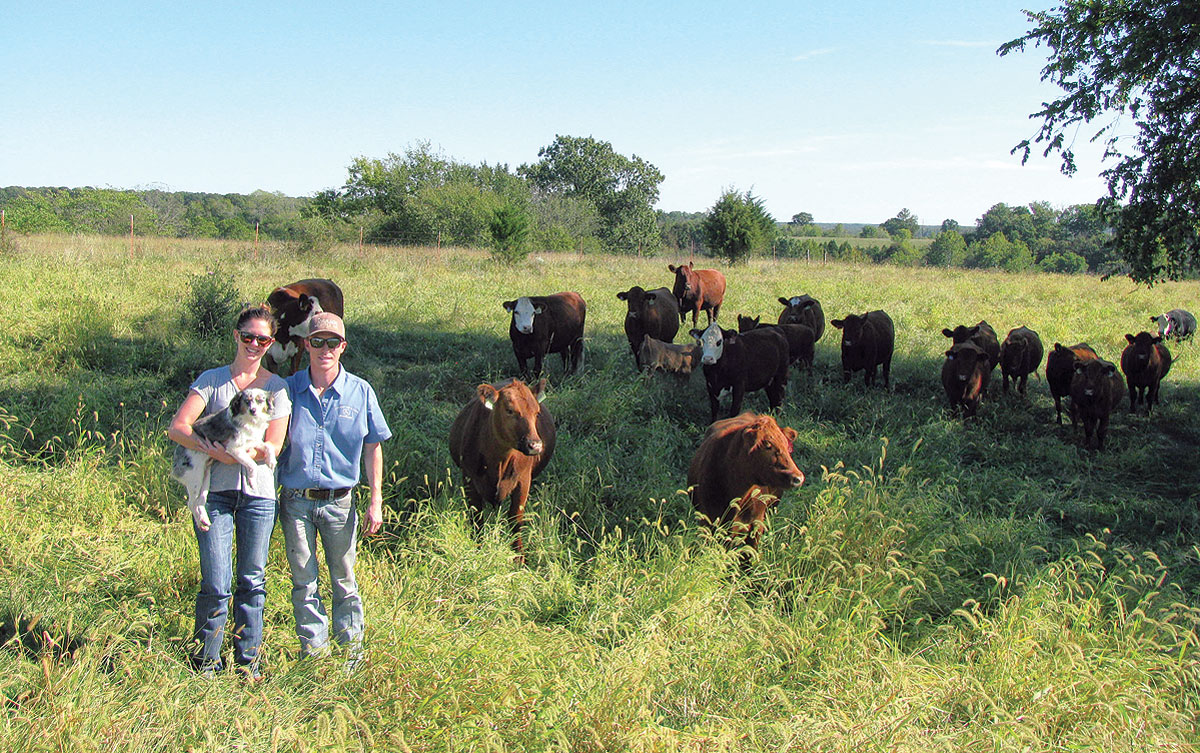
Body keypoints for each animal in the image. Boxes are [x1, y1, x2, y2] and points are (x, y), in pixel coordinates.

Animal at [448, 378, 556, 559]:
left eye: (537, 413)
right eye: (510, 410)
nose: (535, 445)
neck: (497, 461)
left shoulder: (523, 481)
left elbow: (515, 519)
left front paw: (519, 557)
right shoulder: (469, 479)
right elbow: (476, 517)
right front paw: (478, 550)